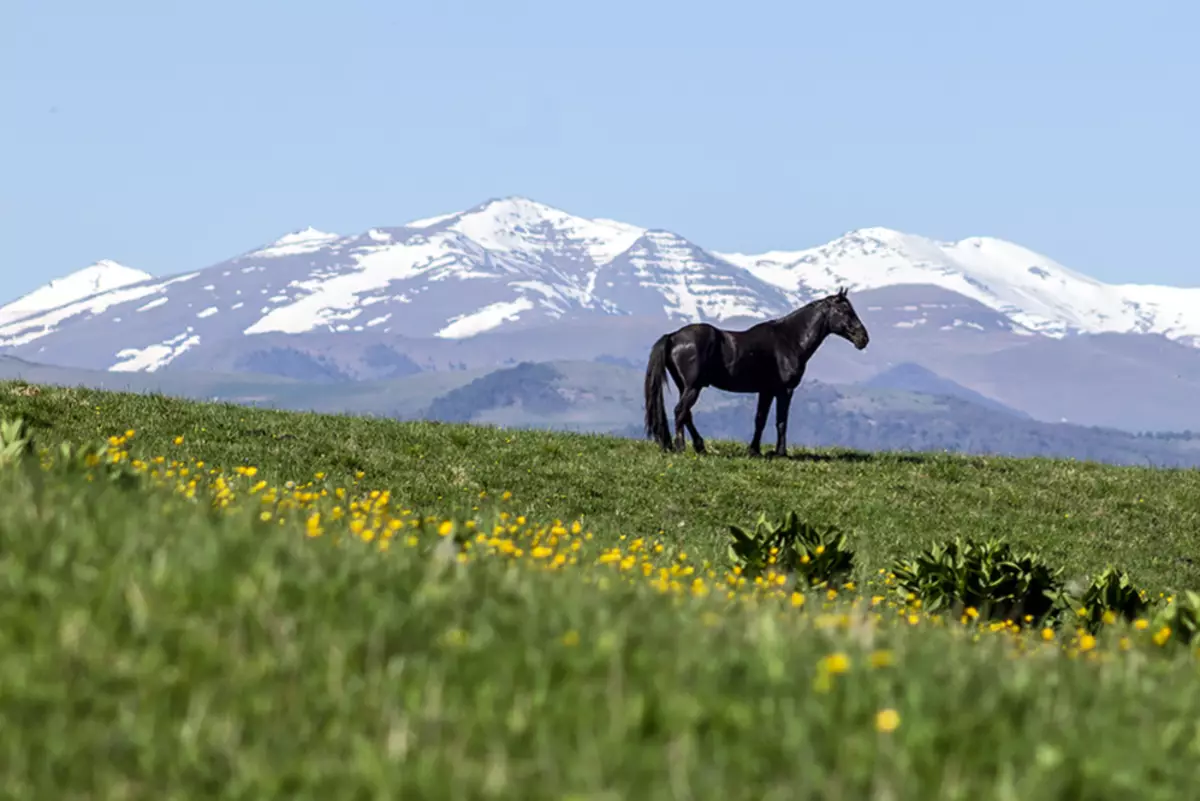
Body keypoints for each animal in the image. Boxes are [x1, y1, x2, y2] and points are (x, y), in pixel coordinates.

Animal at [648, 288, 873, 455]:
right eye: (845, 312)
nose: (863, 338)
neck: (789, 340)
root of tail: (673, 337)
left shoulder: (766, 391)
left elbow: (760, 419)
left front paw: (754, 450)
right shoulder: (784, 390)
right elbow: (780, 421)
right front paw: (780, 452)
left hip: (686, 386)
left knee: (686, 414)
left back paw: (699, 446)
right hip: (693, 387)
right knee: (680, 412)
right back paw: (681, 448)